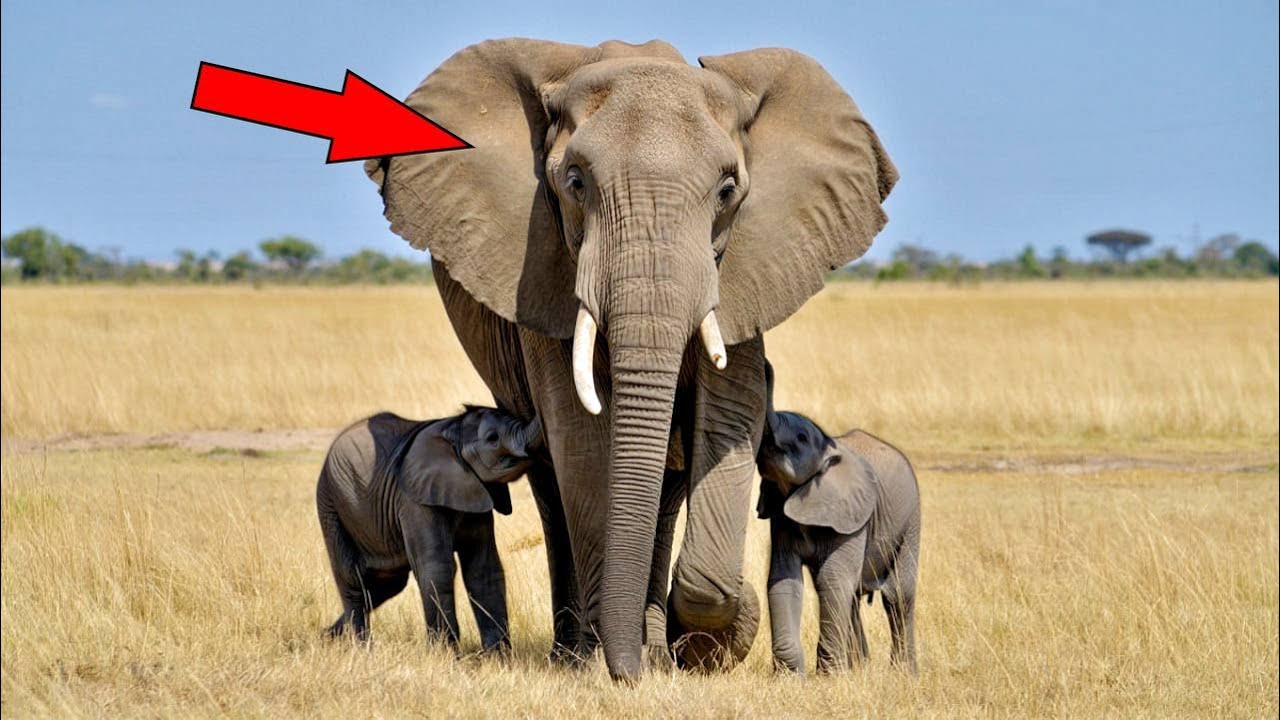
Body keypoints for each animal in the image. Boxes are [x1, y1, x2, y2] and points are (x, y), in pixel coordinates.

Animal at [317, 408, 542, 652]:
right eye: (493, 438)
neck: (453, 431)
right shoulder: (414, 501)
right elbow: (437, 568)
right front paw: (446, 655)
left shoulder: (475, 496)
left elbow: (483, 568)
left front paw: (496, 656)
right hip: (331, 505)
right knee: (352, 577)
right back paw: (361, 648)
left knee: (388, 584)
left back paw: (327, 637)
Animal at [364, 38, 896, 680]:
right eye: (574, 182)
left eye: (727, 191)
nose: (628, 671)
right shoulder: (545, 268)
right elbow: (582, 437)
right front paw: (611, 663)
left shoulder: (746, 263)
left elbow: (730, 413)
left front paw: (710, 636)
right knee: (554, 488)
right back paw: (579, 654)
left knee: (664, 490)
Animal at [756, 366, 921, 674]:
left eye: (801, 438)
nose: (766, 365)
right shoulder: (781, 516)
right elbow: (783, 577)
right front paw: (789, 677)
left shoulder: (853, 516)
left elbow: (831, 579)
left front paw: (828, 676)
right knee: (854, 595)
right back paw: (860, 668)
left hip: (912, 519)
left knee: (897, 596)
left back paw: (903, 674)